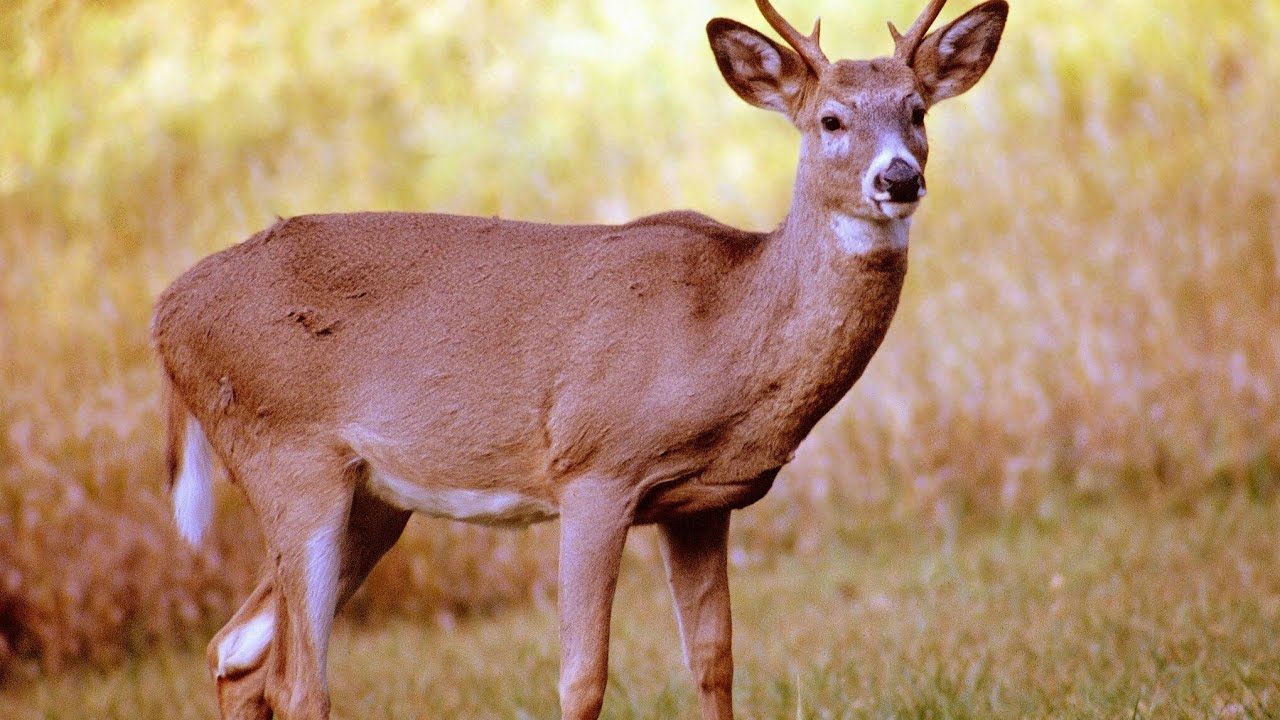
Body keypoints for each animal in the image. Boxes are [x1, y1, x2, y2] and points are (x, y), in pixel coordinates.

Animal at [151, 0, 1007, 717]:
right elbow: (582, 677)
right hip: (289, 456)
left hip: (372, 496)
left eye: (917, 111)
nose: (899, 177)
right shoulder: (596, 467)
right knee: (297, 682)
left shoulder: (699, 504)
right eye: (830, 119)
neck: (724, 321)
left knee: (236, 651)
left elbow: (714, 662)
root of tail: (164, 314)